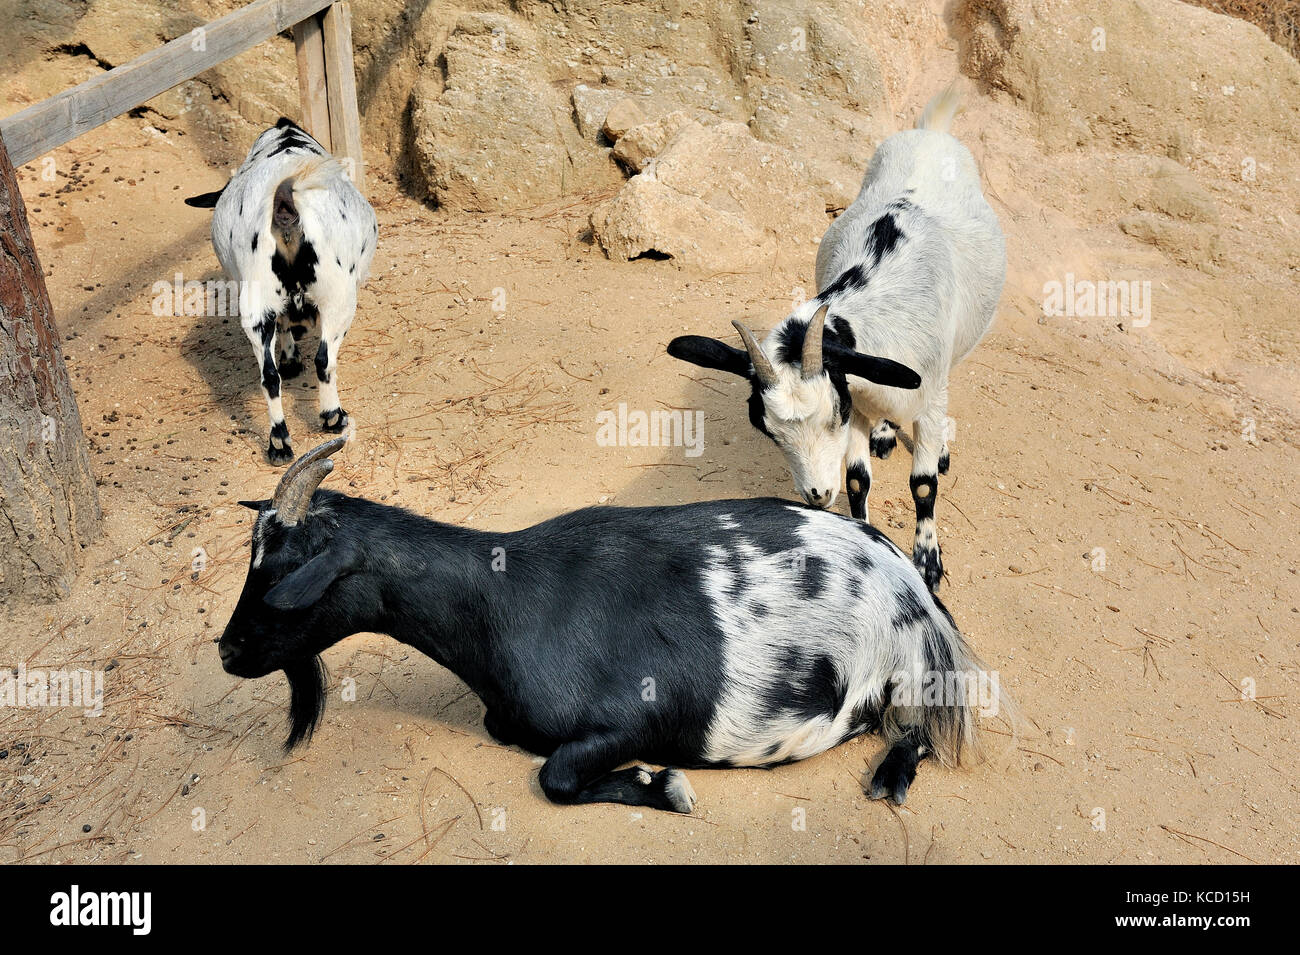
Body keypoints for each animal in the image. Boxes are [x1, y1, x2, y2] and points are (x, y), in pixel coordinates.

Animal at [185, 118, 378, 464]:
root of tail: (285, 205)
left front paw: (290, 360)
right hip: (339, 299)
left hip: (255, 305)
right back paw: (332, 417)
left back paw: (279, 443)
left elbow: (285, 326)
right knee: (324, 361)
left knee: (268, 376)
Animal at [218, 439, 1003, 813]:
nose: (227, 651)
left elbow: (557, 776)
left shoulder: (632, 718)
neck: (503, 601)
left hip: (908, 670)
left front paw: (666, 786)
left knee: (927, 722)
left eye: (282, 572)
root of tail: (909, 580)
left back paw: (890, 777)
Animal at [667, 85, 1006, 592]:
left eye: (834, 416)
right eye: (767, 430)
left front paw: (928, 562)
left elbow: (923, 483)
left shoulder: (915, 396)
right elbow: (859, 480)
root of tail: (931, 132)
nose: (816, 494)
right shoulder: (859, 394)